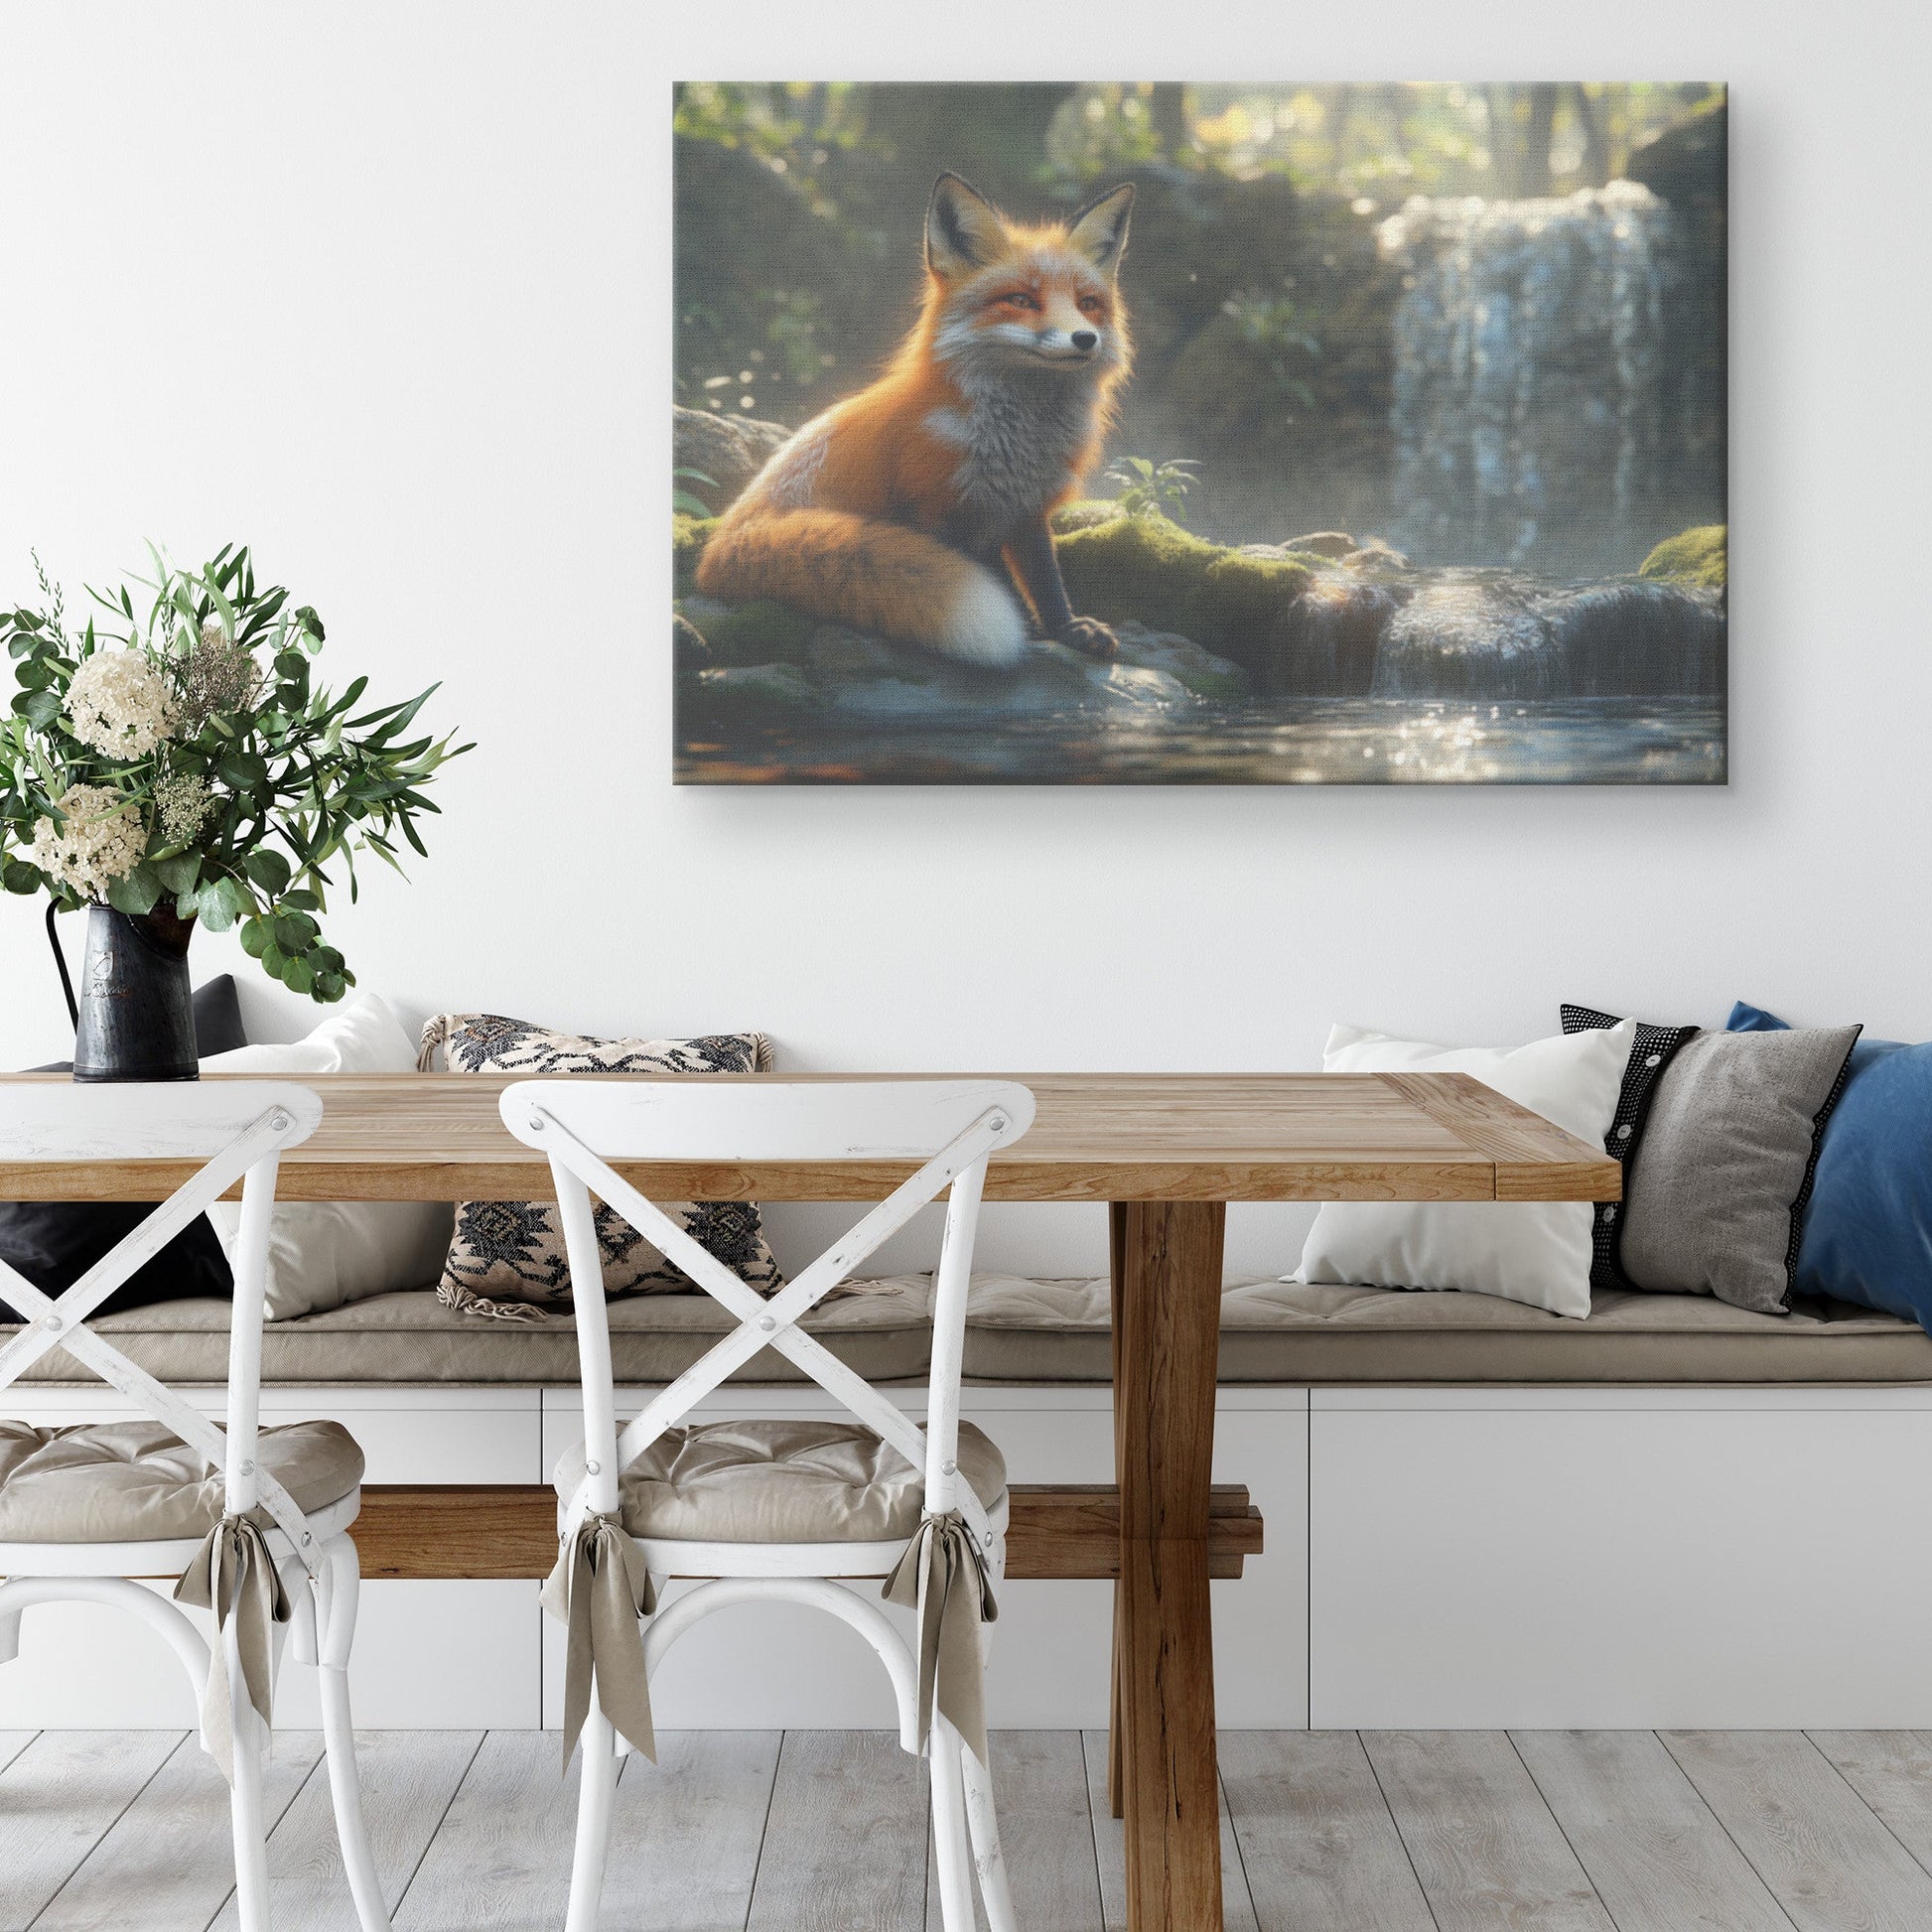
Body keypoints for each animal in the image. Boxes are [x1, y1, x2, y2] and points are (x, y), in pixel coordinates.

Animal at [695, 171, 1136, 666]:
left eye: (1088, 303)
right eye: (1021, 299)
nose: (1085, 338)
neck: (1014, 439)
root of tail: (720, 544)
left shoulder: (1026, 506)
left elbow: (1047, 581)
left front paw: (1066, 629)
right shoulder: (936, 508)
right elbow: (993, 576)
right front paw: (1029, 626)